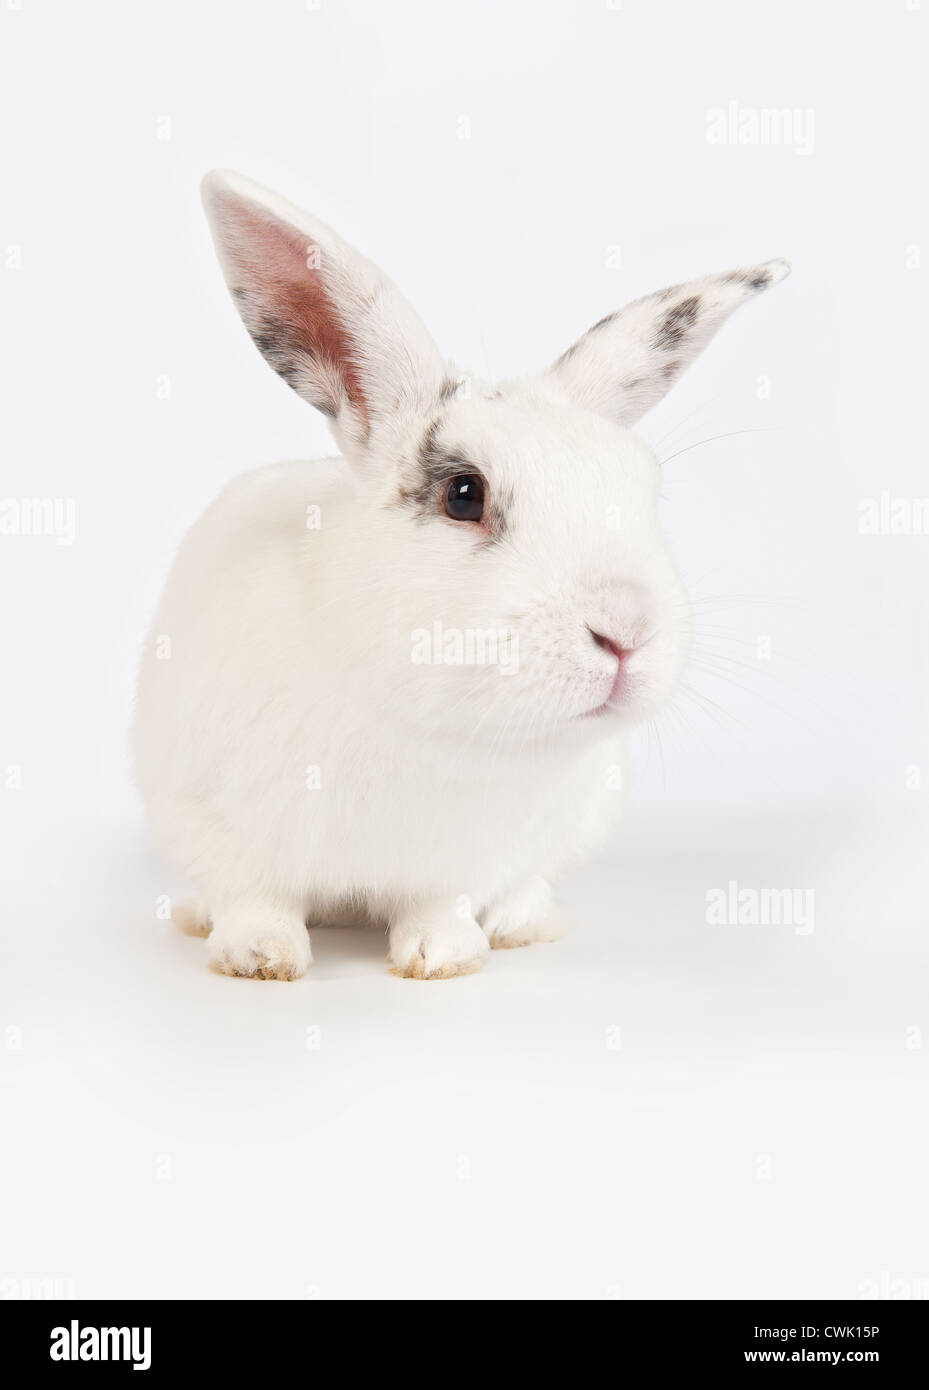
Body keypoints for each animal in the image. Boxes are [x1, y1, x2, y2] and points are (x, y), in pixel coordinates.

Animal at [131, 169, 789, 981]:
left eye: (645, 487)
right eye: (463, 494)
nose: (627, 631)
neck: (416, 721)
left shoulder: (464, 859)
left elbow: (439, 903)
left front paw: (442, 957)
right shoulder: (210, 813)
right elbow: (255, 893)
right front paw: (260, 958)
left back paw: (523, 924)